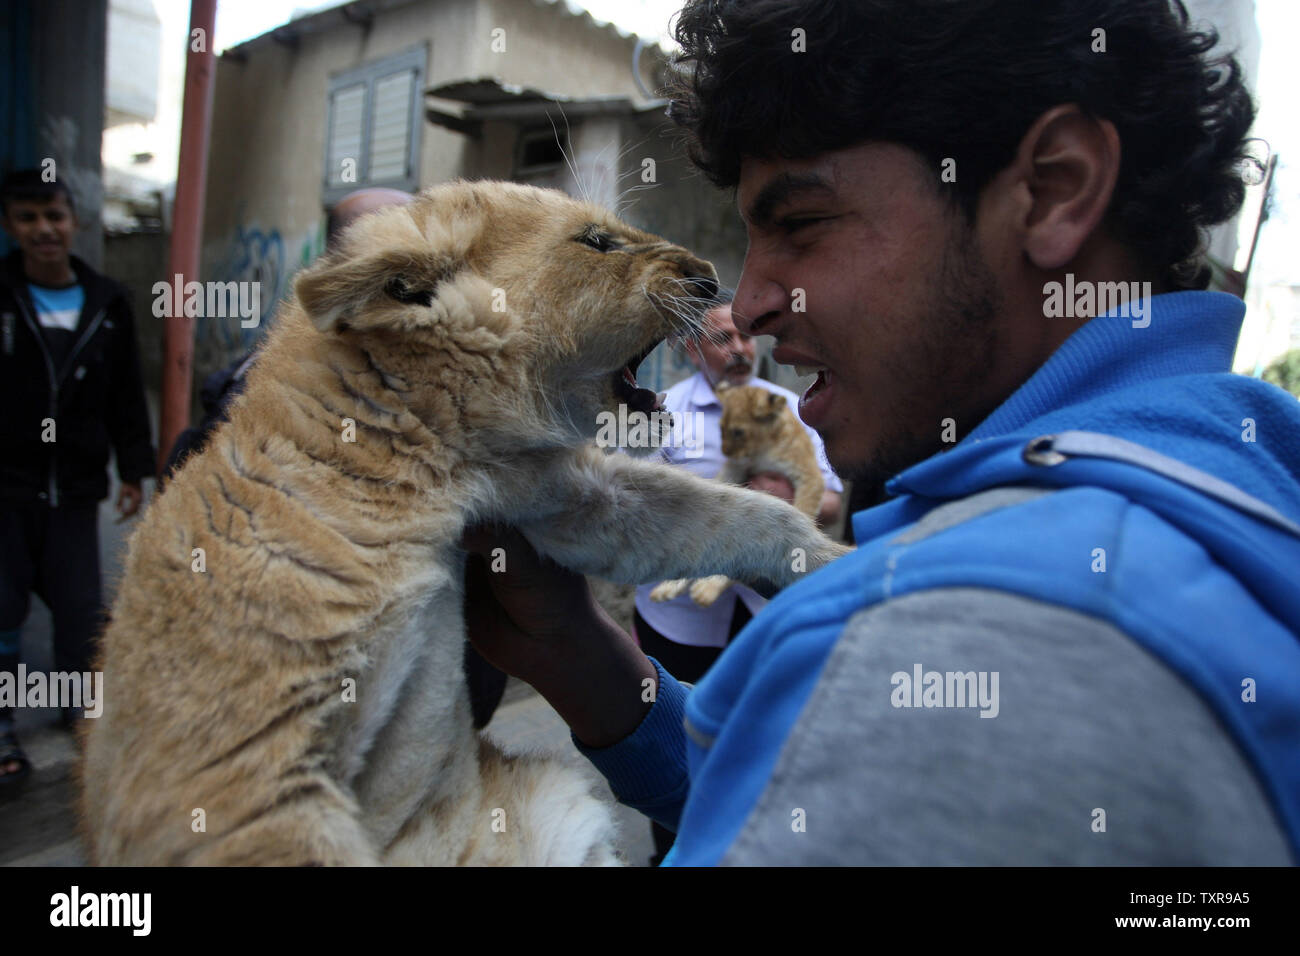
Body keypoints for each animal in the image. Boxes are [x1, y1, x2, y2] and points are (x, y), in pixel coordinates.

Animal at [651, 383, 827, 607]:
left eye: (738, 432)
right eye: (721, 428)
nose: (726, 452)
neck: (763, 449)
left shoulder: (809, 477)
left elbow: (800, 516)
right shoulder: (734, 470)